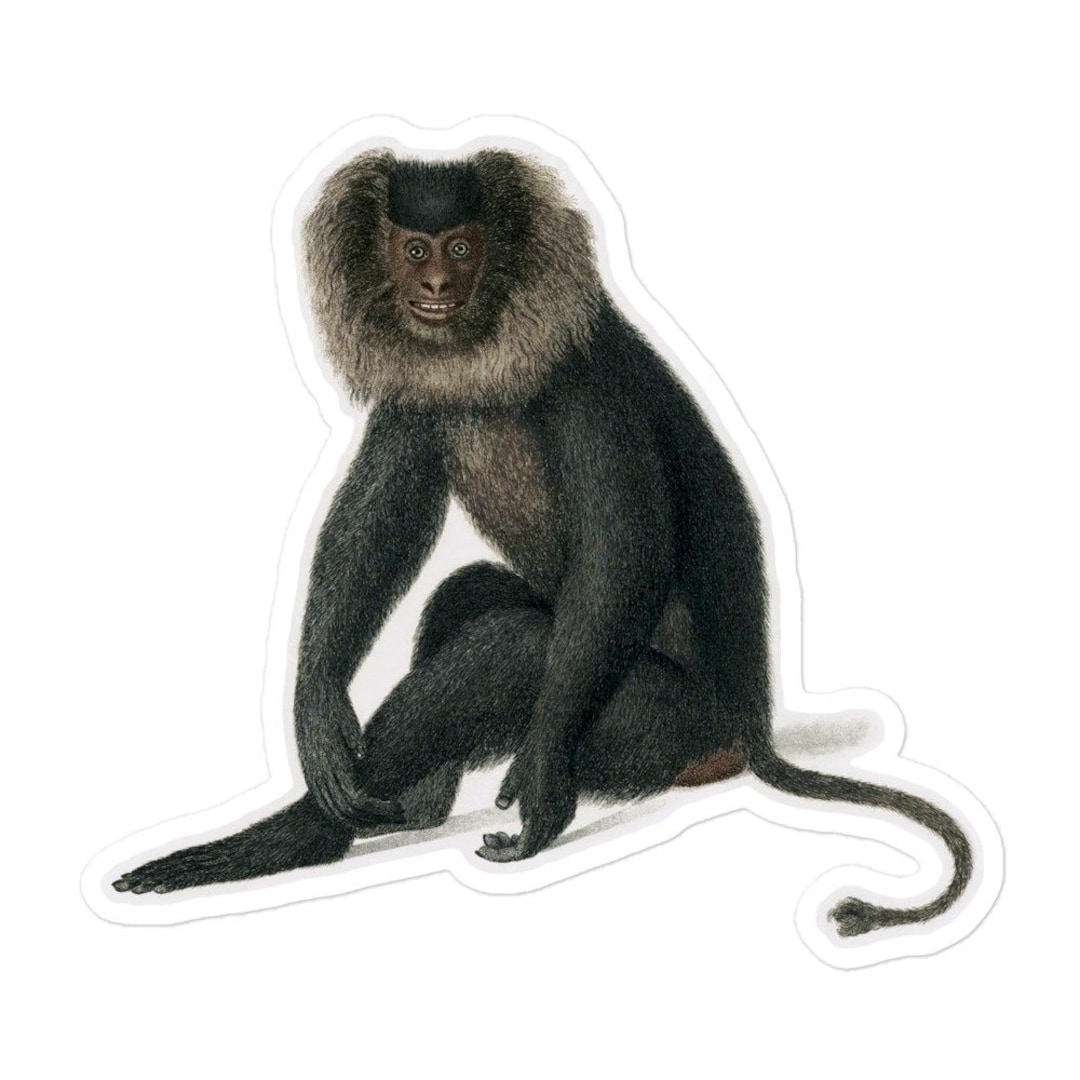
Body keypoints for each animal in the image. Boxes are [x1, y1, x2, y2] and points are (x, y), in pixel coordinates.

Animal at [113, 149, 971, 937]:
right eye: (414, 250)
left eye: (462, 248)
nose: (434, 290)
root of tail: (751, 738)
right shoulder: (419, 384)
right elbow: (377, 519)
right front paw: (317, 709)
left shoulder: (584, 377)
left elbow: (625, 556)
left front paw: (546, 798)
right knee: (469, 597)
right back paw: (407, 807)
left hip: (671, 731)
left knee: (519, 647)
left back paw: (289, 840)